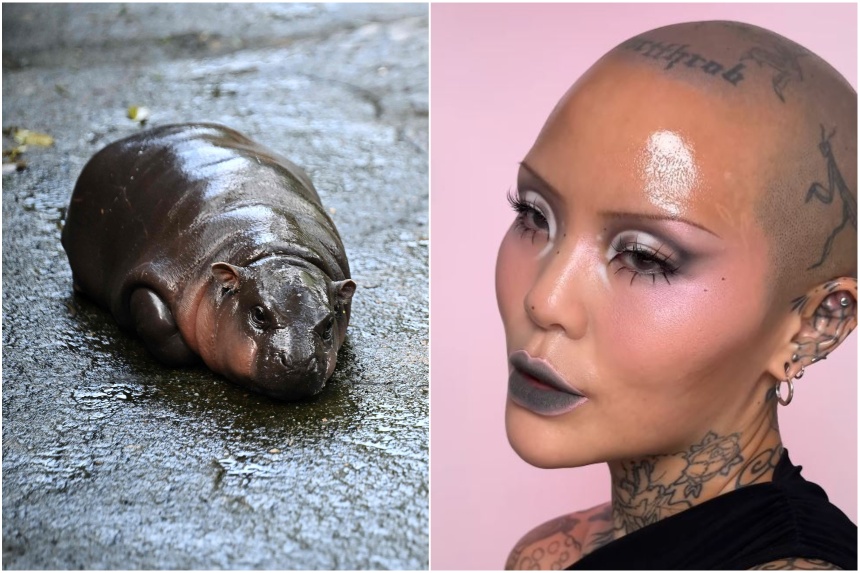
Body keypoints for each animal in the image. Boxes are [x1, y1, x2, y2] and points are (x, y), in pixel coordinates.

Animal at [61, 123, 356, 401]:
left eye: (329, 323)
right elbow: (158, 323)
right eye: (259, 314)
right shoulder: (162, 273)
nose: (298, 361)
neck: (279, 251)